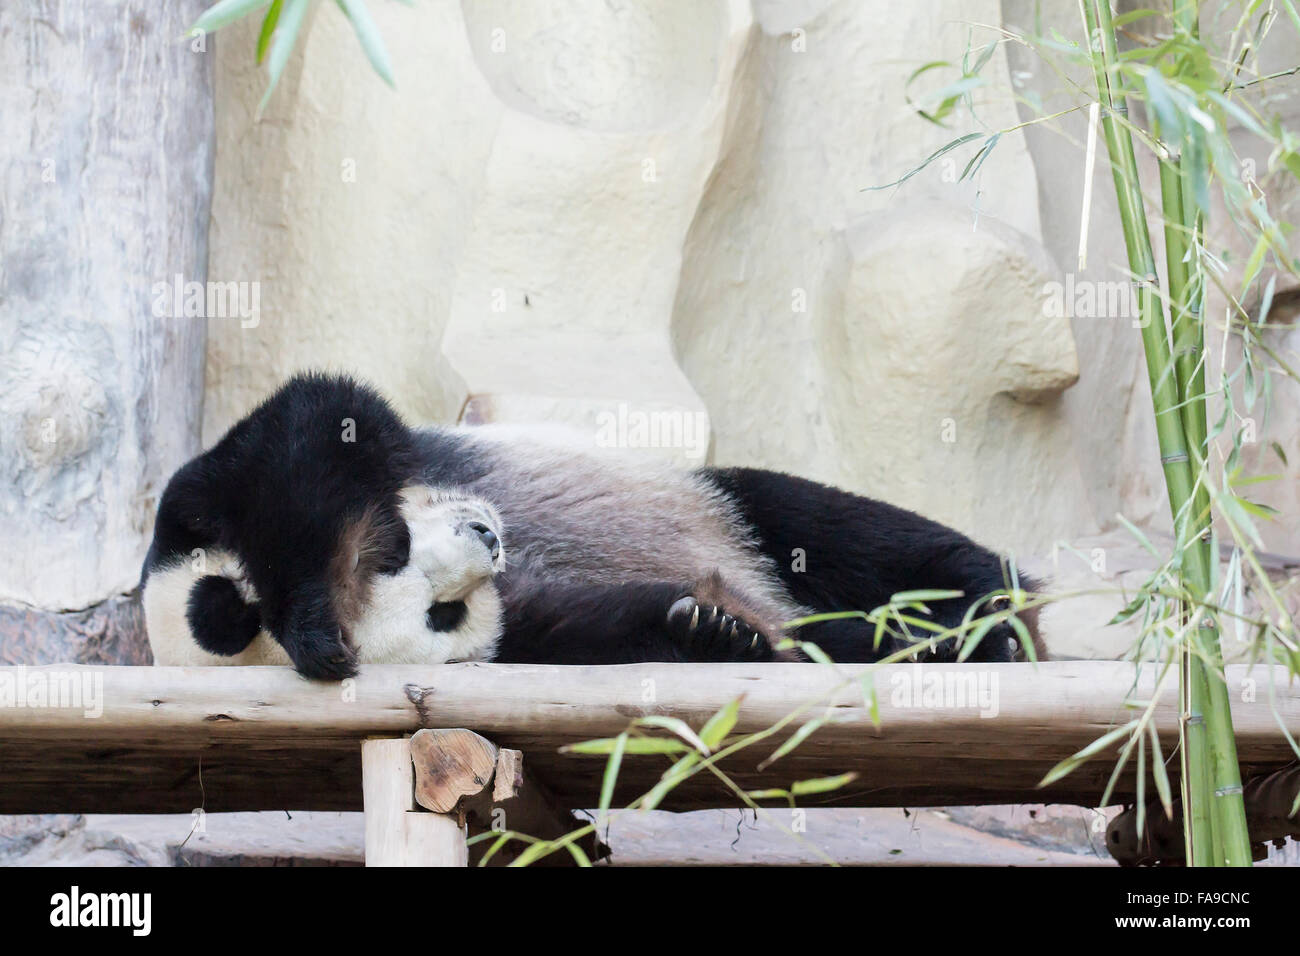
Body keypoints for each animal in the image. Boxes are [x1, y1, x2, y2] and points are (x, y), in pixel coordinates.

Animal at [141, 372, 1043, 678]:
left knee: (853, 536)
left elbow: (322, 417)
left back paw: (995, 616)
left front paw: (308, 616)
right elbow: (598, 626)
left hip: (723, 504)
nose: (490, 541)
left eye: (393, 546)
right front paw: (709, 629)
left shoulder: (202, 490)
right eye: (441, 615)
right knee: (834, 622)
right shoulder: (519, 633)